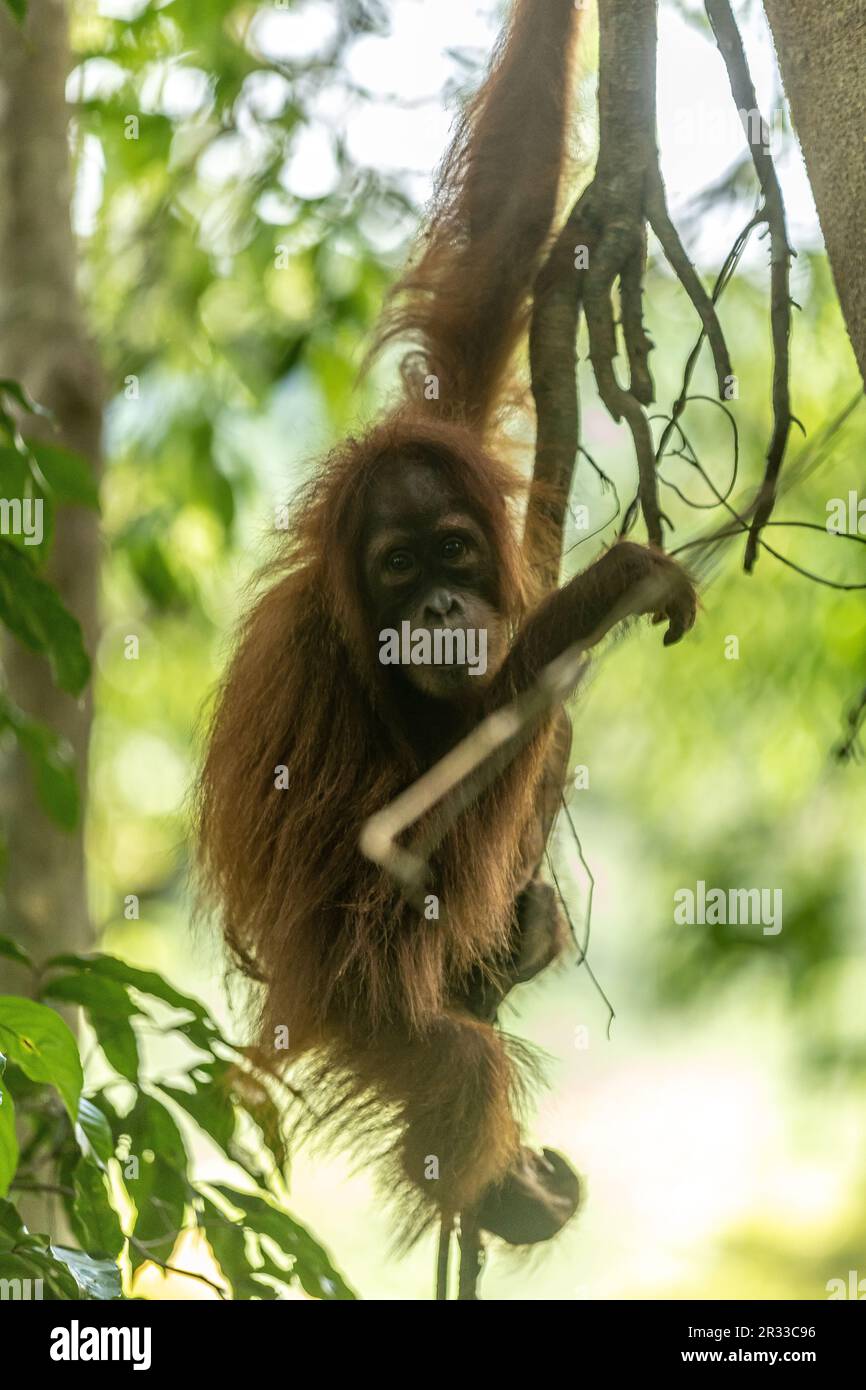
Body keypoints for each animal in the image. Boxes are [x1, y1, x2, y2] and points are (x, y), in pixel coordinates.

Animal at [196, 0, 697, 1251]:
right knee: (444, 1051)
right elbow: (364, 864)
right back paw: (497, 1187)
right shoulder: (313, 692)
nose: (434, 603)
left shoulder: (448, 427)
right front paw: (593, 596)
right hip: (340, 1004)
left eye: (454, 551)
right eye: (395, 566)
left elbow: (490, 255)